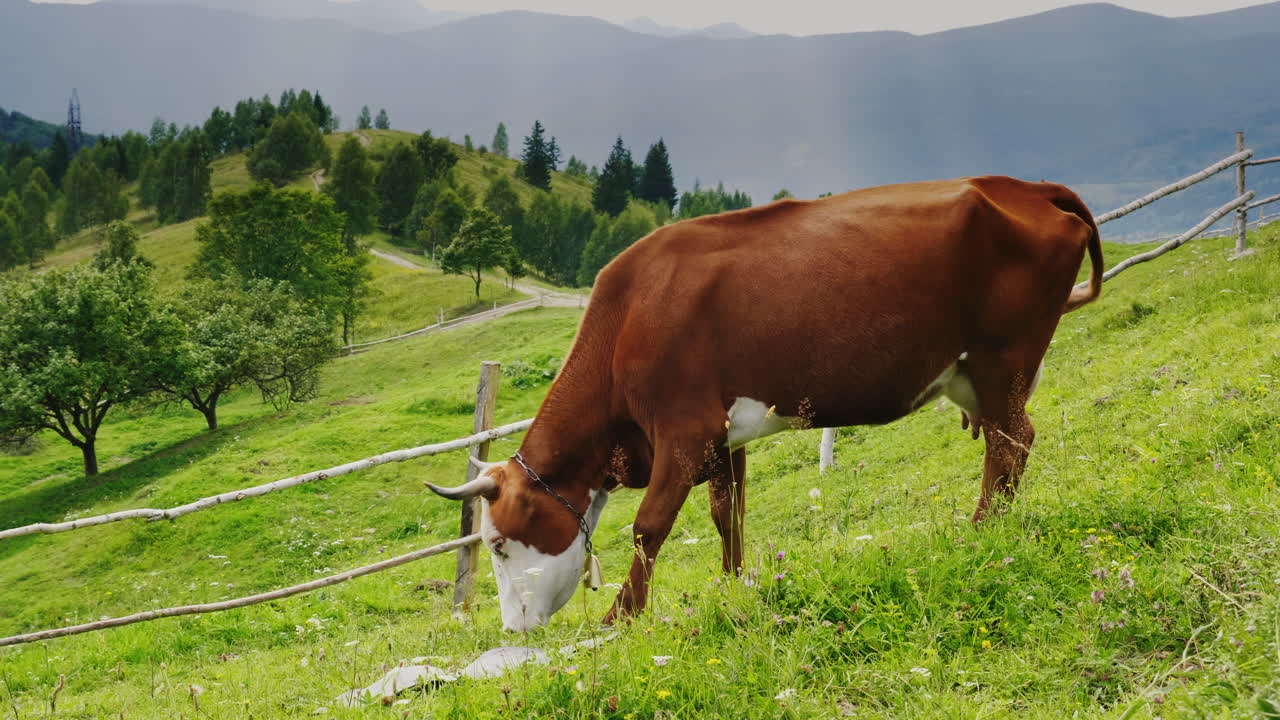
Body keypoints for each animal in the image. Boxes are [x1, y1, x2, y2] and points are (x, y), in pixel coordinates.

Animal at [429, 175, 1103, 632]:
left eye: (497, 543)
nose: (513, 629)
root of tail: (1023, 187)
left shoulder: (684, 428)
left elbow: (650, 526)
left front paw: (622, 615)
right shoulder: (722, 436)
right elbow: (729, 514)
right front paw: (733, 586)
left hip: (1004, 360)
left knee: (1011, 445)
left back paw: (982, 532)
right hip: (982, 373)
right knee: (1008, 447)